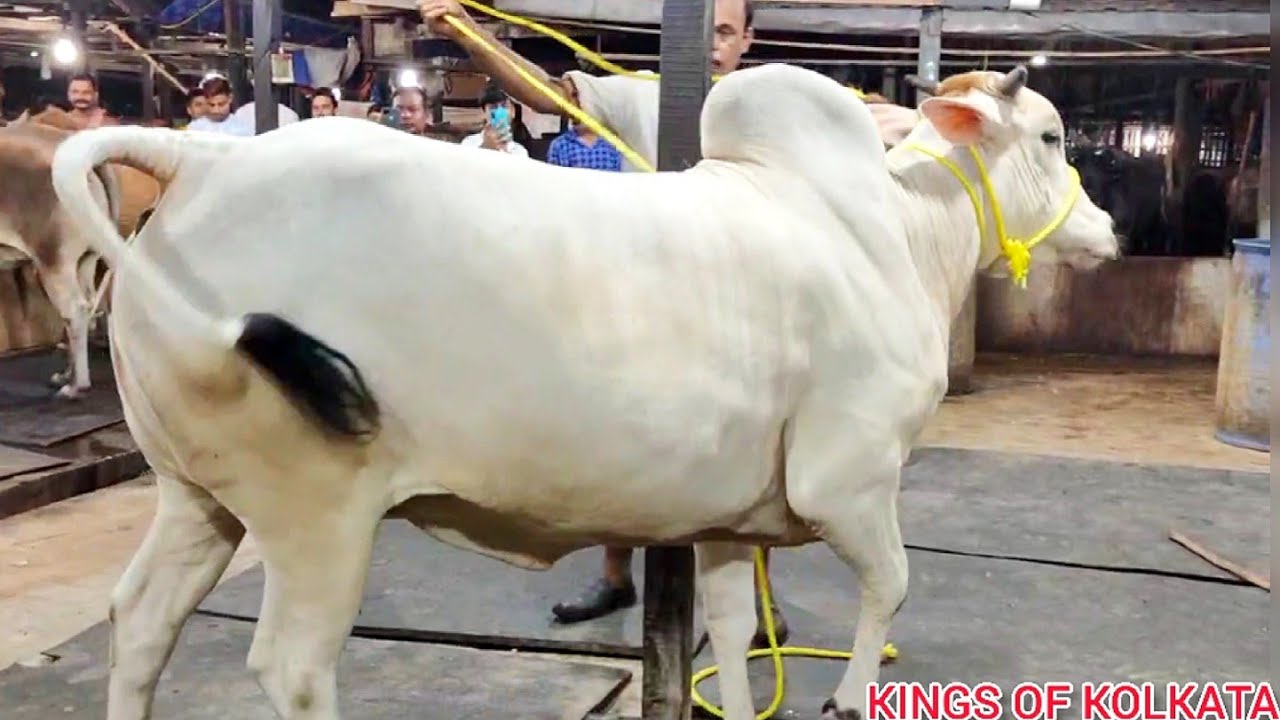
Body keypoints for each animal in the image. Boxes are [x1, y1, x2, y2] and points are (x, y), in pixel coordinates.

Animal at [0, 107, 161, 397]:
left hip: (54, 259)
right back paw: (67, 374)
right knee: (85, 308)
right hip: (85, 258)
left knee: (74, 310)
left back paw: (76, 385)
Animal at [51, 64, 1117, 720]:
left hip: (199, 497)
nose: (1107, 231)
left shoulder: (733, 516)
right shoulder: (849, 480)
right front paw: (848, 697)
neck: (896, 235)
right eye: (1052, 135)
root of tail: (203, 157)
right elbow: (890, 586)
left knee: (140, 624)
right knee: (292, 669)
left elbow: (733, 632)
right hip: (315, 512)